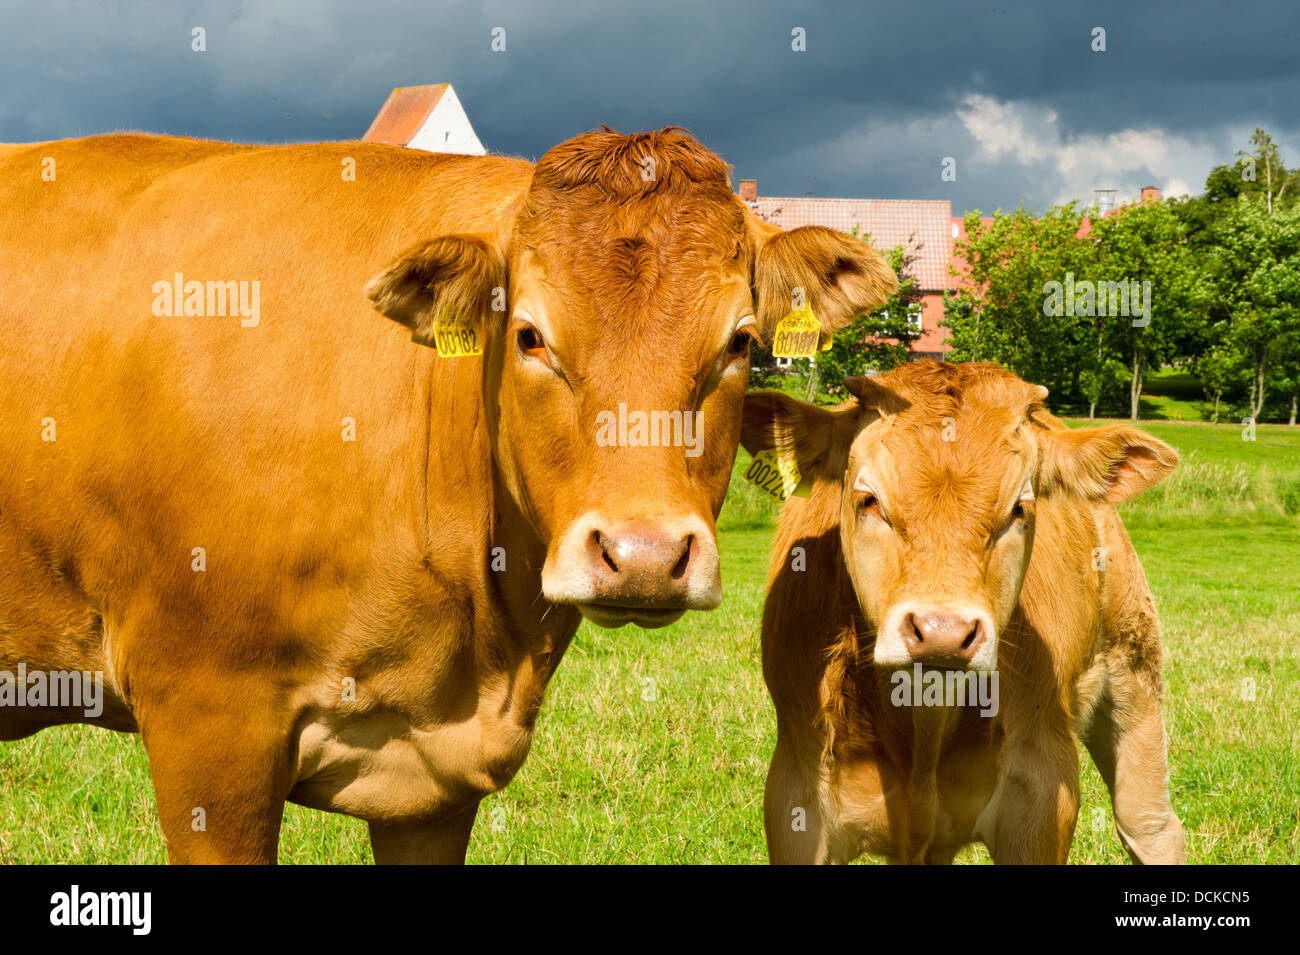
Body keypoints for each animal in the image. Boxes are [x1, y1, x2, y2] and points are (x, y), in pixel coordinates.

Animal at [741, 360, 1186, 864]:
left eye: (1020, 508)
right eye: (868, 499)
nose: (942, 632)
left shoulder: (1041, 792)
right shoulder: (797, 796)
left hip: (1134, 667)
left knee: (1149, 826)